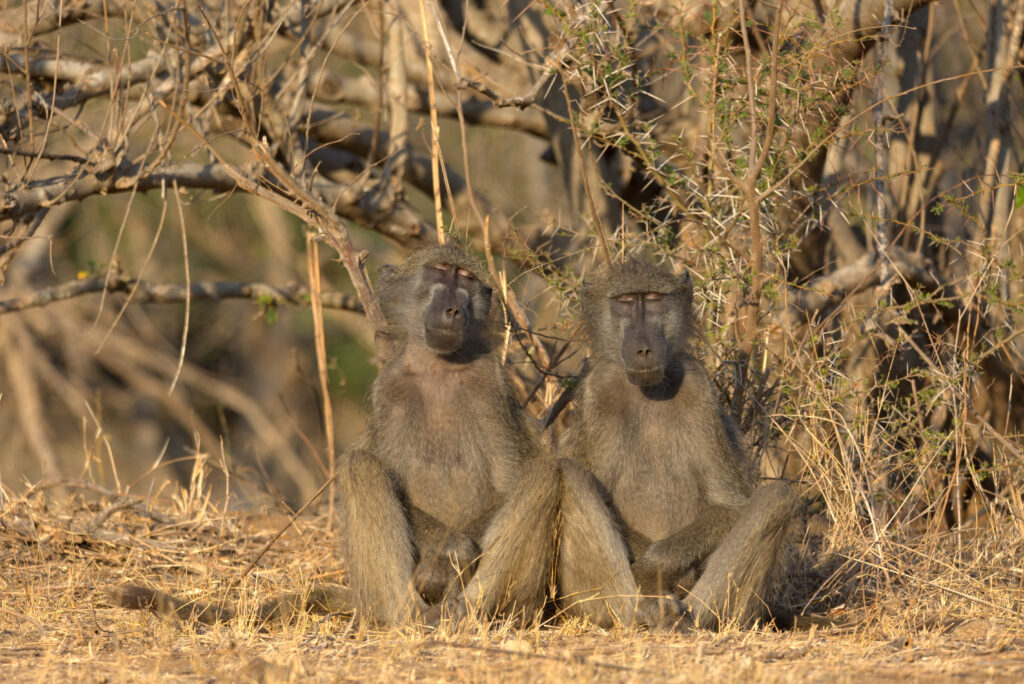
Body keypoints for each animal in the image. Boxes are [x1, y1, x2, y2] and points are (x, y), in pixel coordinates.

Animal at [553, 257, 799, 630]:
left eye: (654, 299)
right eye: (626, 302)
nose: (643, 349)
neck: (649, 391)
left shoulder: (698, 387)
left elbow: (729, 506)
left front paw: (654, 568)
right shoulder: (598, 392)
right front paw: (650, 574)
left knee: (778, 498)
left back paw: (680, 616)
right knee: (569, 474)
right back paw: (648, 610)